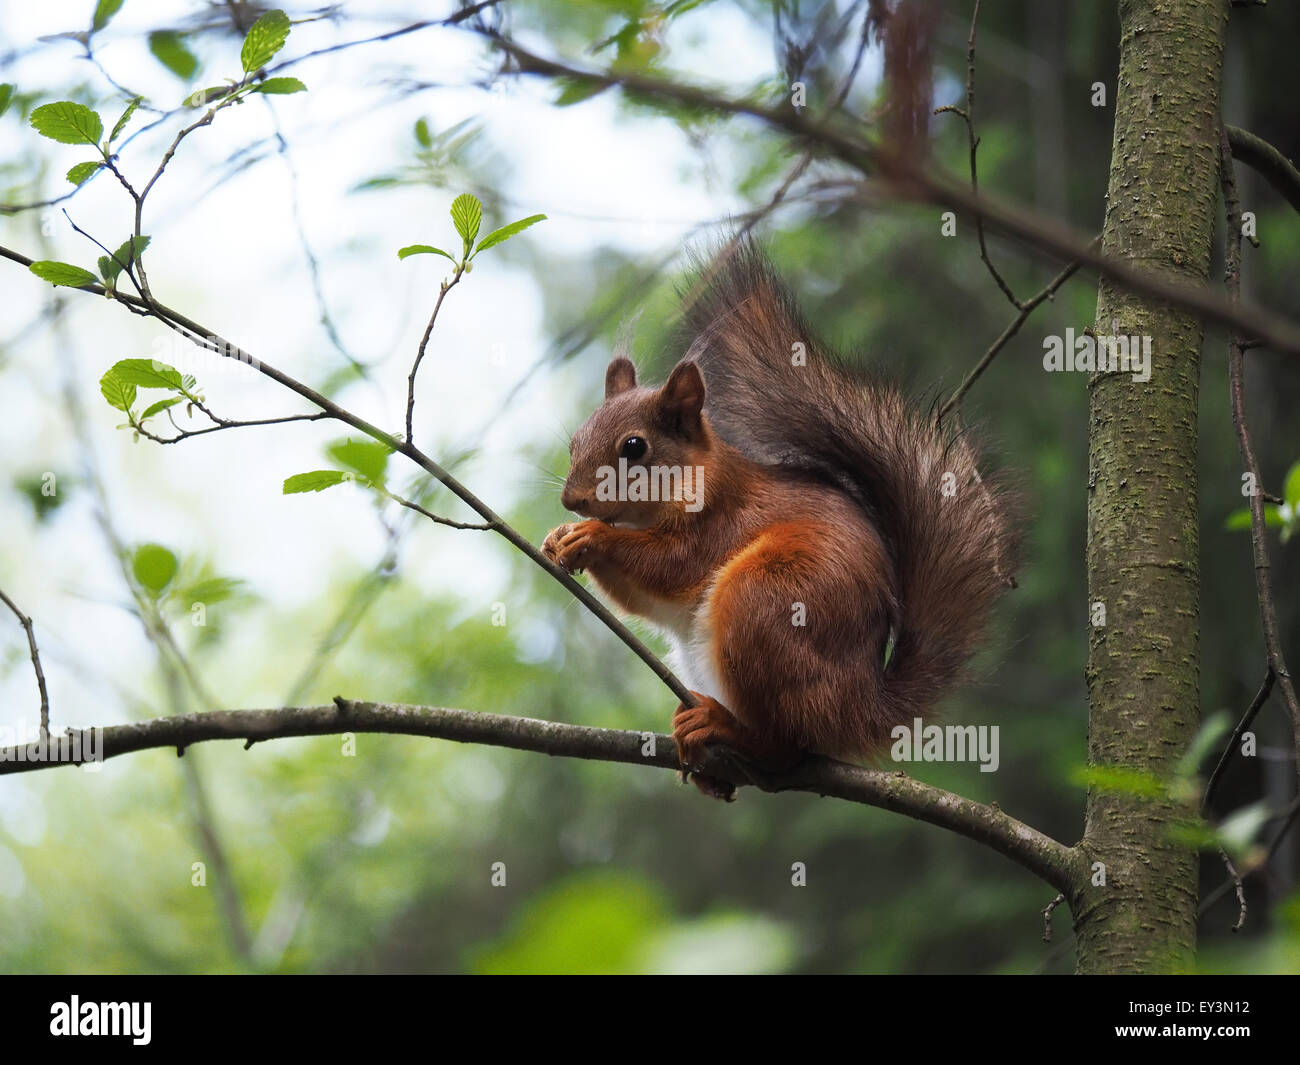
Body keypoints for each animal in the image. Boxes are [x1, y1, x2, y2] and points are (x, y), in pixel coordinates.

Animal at [542, 244, 1017, 799]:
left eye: (634, 448)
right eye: (576, 440)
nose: (572, 501)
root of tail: (859, 708)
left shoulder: (720, 521)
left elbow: (670, 565)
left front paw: (592, 537)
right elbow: (643, 600)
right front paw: (557, 539)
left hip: (766, 601)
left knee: (787, 749)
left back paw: (725, 729)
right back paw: (709, 766)